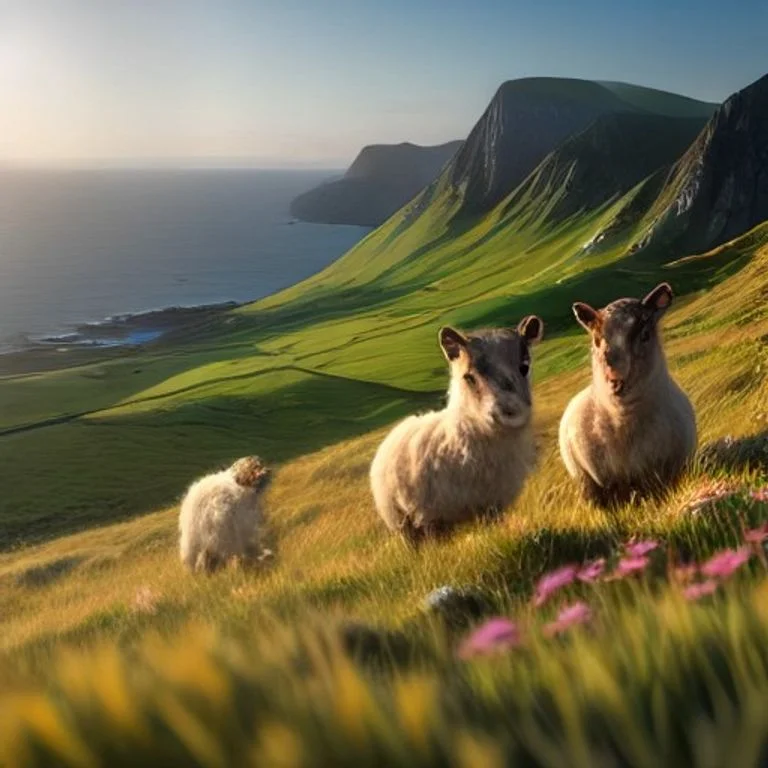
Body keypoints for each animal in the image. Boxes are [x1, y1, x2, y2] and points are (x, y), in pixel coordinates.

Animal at [370, 317, 544, 541]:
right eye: (468, 377)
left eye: (524, 367)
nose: (509, 411)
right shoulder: (429, 517)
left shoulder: (493, 506)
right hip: (404, 523)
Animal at [559, 282, 697, 507]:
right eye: (596, 340)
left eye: (645, 335)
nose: (616, 380)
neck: (623, 417)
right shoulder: (598, 486)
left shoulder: (664, 477)